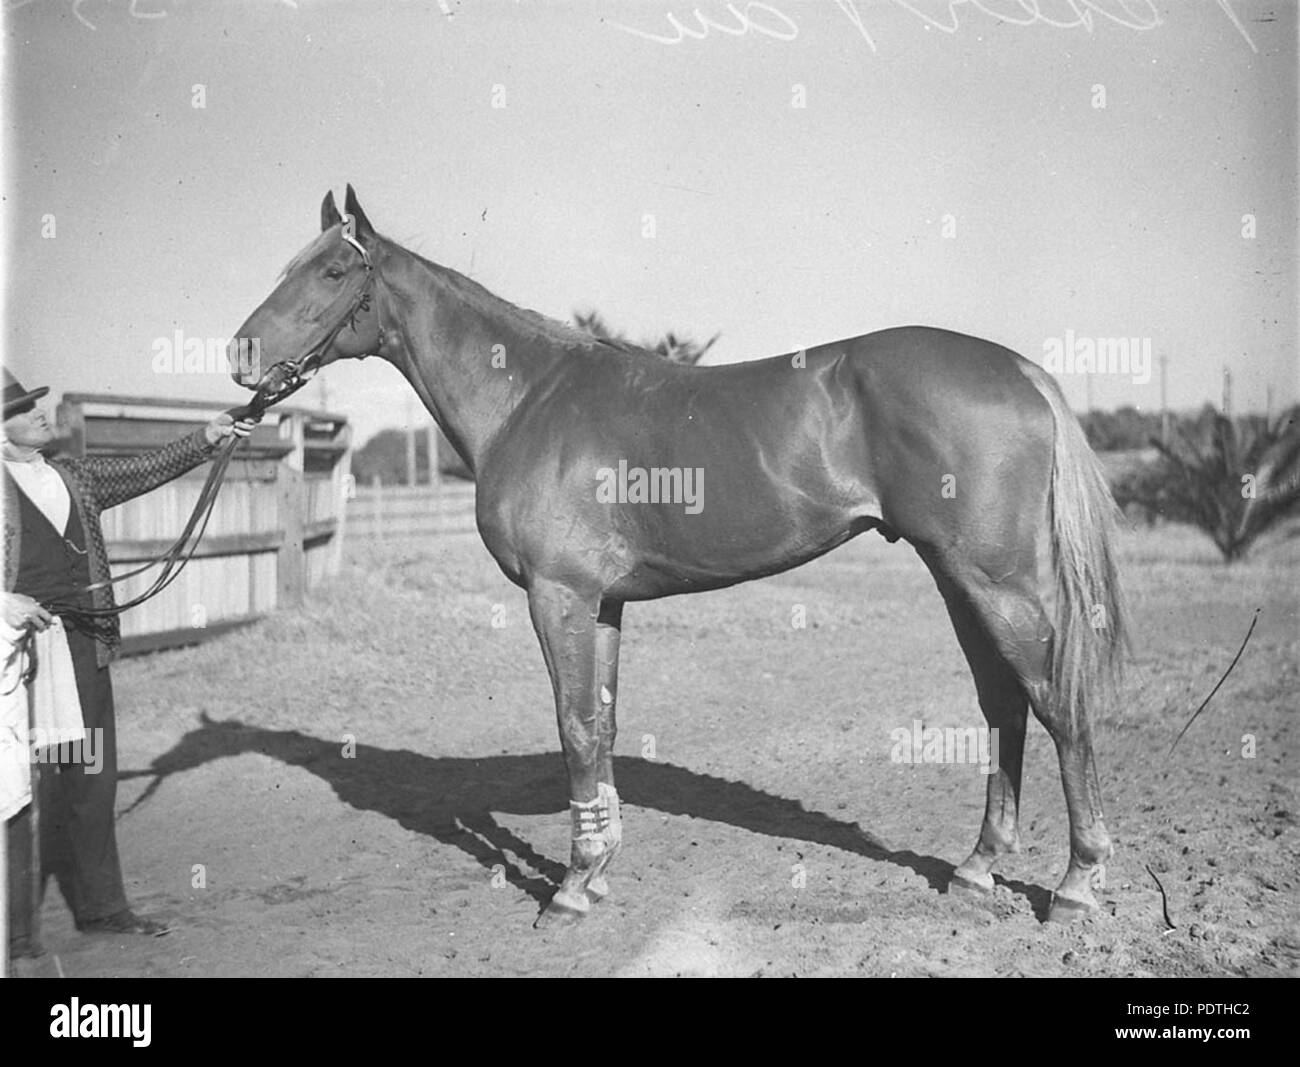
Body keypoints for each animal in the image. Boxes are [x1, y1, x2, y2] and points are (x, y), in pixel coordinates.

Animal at [229, 185, 1128, 926]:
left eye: (333, 269)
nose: (240, 353)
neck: (529, 398)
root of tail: (1021, 371)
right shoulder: (604, 603)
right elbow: (602, 722)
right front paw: (597, 870)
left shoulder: (559, 595)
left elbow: (573, 725)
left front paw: (569, 888)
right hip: (957, 577)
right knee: (1004, 703)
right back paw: (977, 870)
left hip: (997, 580)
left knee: (1055, 702)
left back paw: (1077, 883)